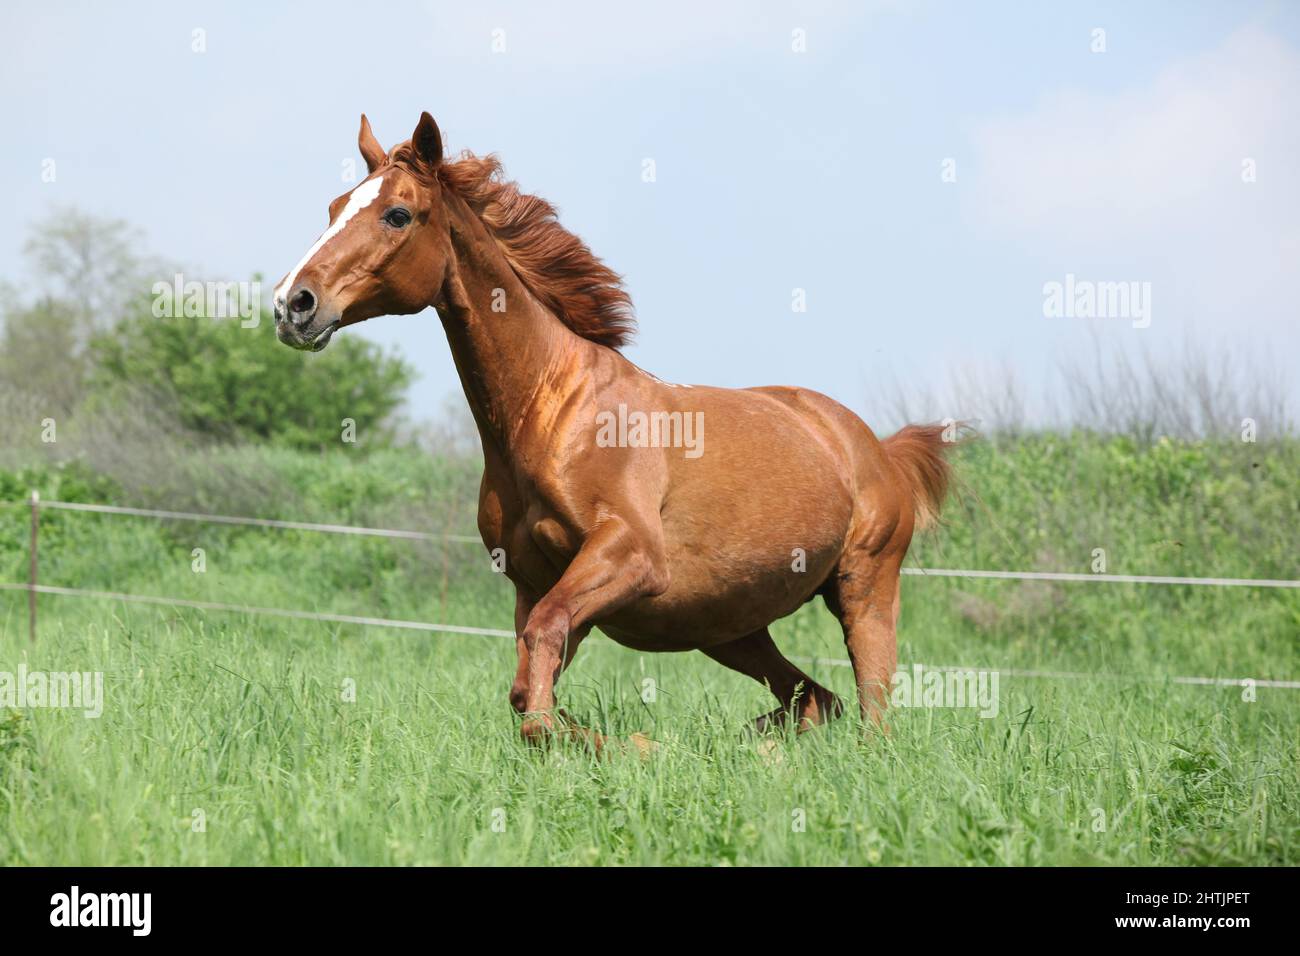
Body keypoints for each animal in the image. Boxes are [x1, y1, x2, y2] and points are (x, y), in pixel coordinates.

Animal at [274, 112, 959, 751]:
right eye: (334, 207)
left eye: (397, 215)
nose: (291, 304)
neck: (552, 416)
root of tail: (871, 446)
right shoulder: (534, 581)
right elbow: (528, 684)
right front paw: (635, 744)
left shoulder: (628, 556)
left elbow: (540, 675)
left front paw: (635, 747)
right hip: (730, 627)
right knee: (815, 699)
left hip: (863, 585)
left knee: (871, 712)